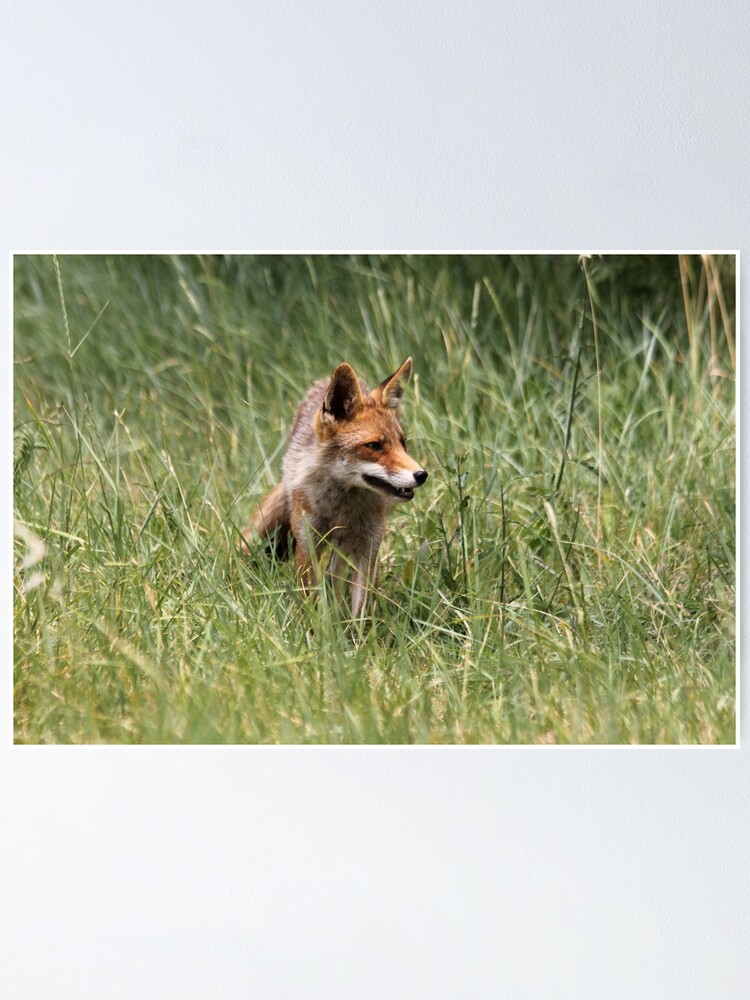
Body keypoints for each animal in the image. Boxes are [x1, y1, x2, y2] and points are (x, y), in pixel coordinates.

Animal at [242, 357, 428, 618]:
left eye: (402, 443)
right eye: (374, 446)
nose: (422, 475)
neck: (342, 509)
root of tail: (322, 382)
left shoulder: (369, 545)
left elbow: (361, 608)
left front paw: (354, 629)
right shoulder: (307, 542)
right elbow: (308, 597)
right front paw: (314, 626)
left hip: (346, 544)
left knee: (335, 574)